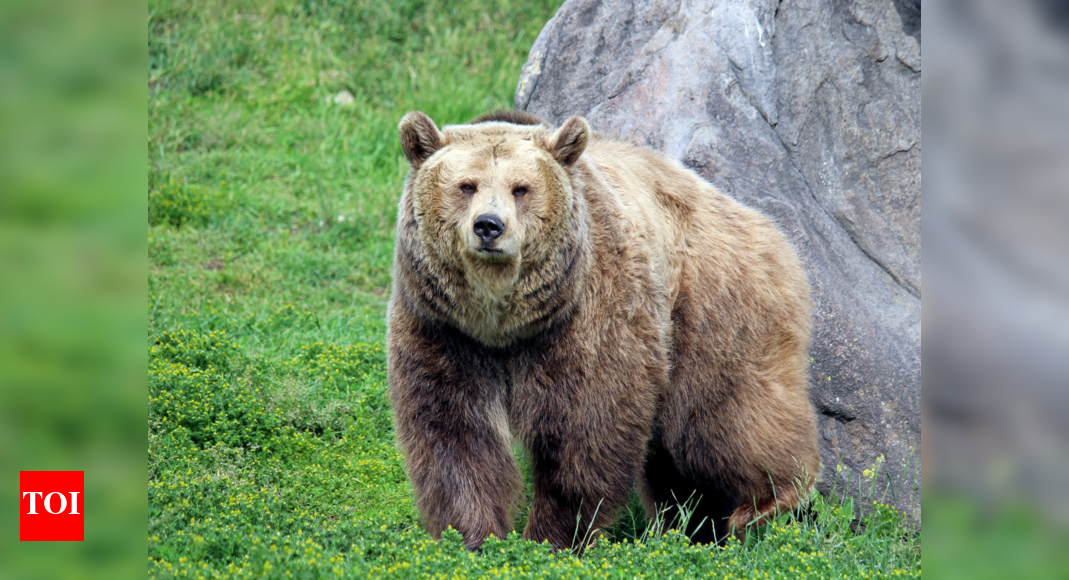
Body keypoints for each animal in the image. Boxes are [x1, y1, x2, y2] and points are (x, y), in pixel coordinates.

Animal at [387, 109, 821, 551]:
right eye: (466, 185)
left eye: (521, 188)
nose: (488, 226)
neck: (503, 325)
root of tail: (764, 224)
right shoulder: (444, 330)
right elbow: (454, 433)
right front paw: (473, 537)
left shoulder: (587, 316)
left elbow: (586, 427)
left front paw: (554, 537)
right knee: (675, 460)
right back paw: (694, 527)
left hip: (711, 305)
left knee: (721, 418)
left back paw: (769, 501)